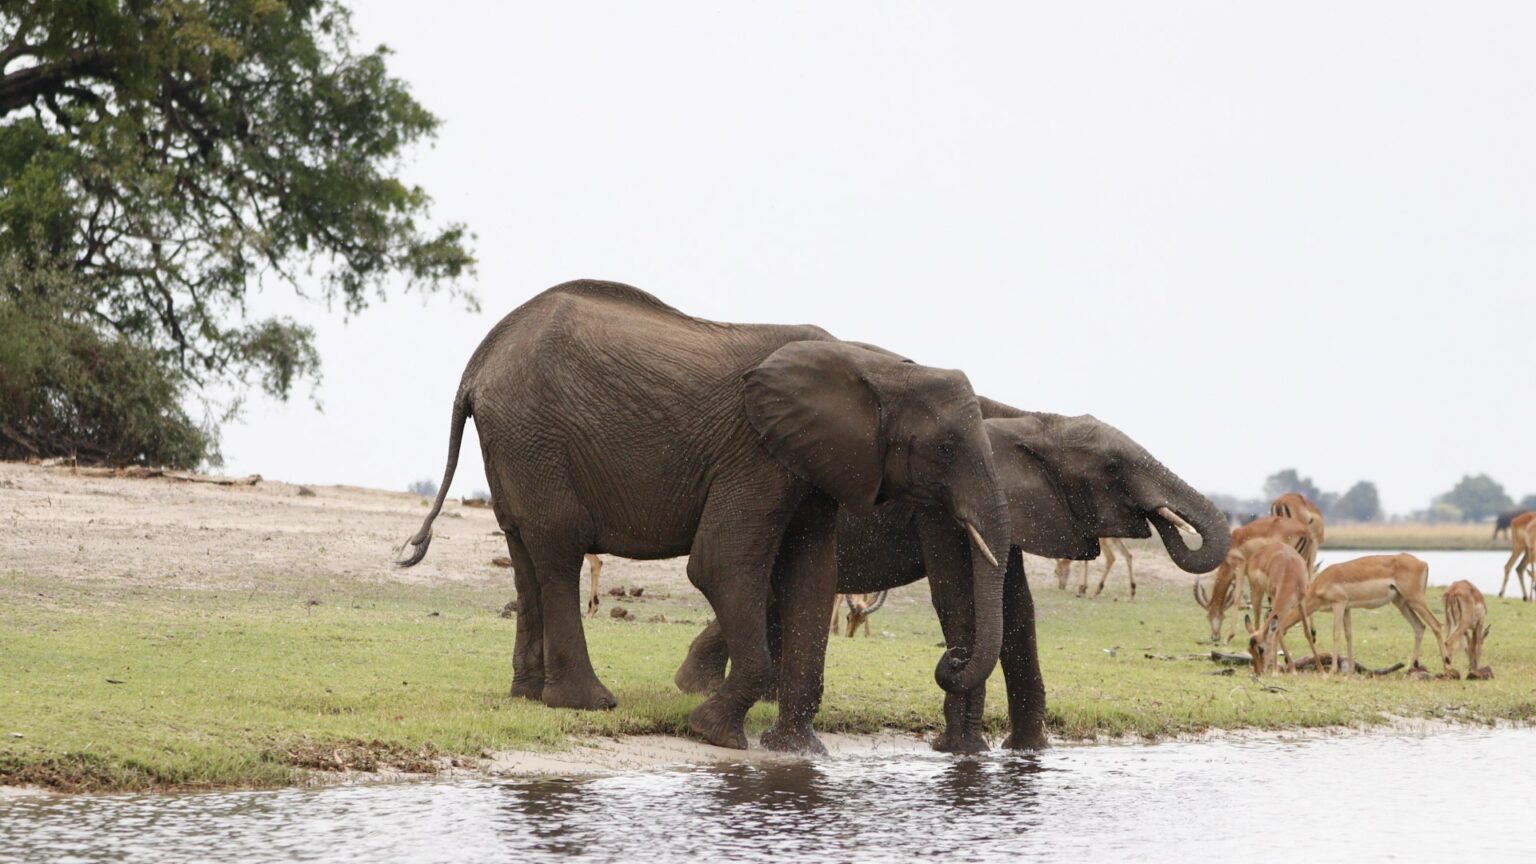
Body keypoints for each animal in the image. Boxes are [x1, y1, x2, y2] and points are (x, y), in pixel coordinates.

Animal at [399, 280, 1012, 753]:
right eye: (947, 448)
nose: (951, 659)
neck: (877, 364)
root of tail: (477, 365)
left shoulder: (813, 462)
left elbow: (813, 578)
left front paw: (798, 752)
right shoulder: (756, 454)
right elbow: (721, 565)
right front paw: (716, 733)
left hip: (514, 444)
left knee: (523, 553)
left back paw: (527, 695)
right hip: (537, 440)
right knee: (558, 553)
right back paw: (588, 703)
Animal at [675, 399, 1229, 752]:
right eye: (1113, 468)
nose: (1162, 520)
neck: (1032, 420)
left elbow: (1016, 611)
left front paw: (1027, 753)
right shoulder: (941, 506)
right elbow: (958, 595)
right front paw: (961, 750)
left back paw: (700, 688)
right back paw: (699, 690)